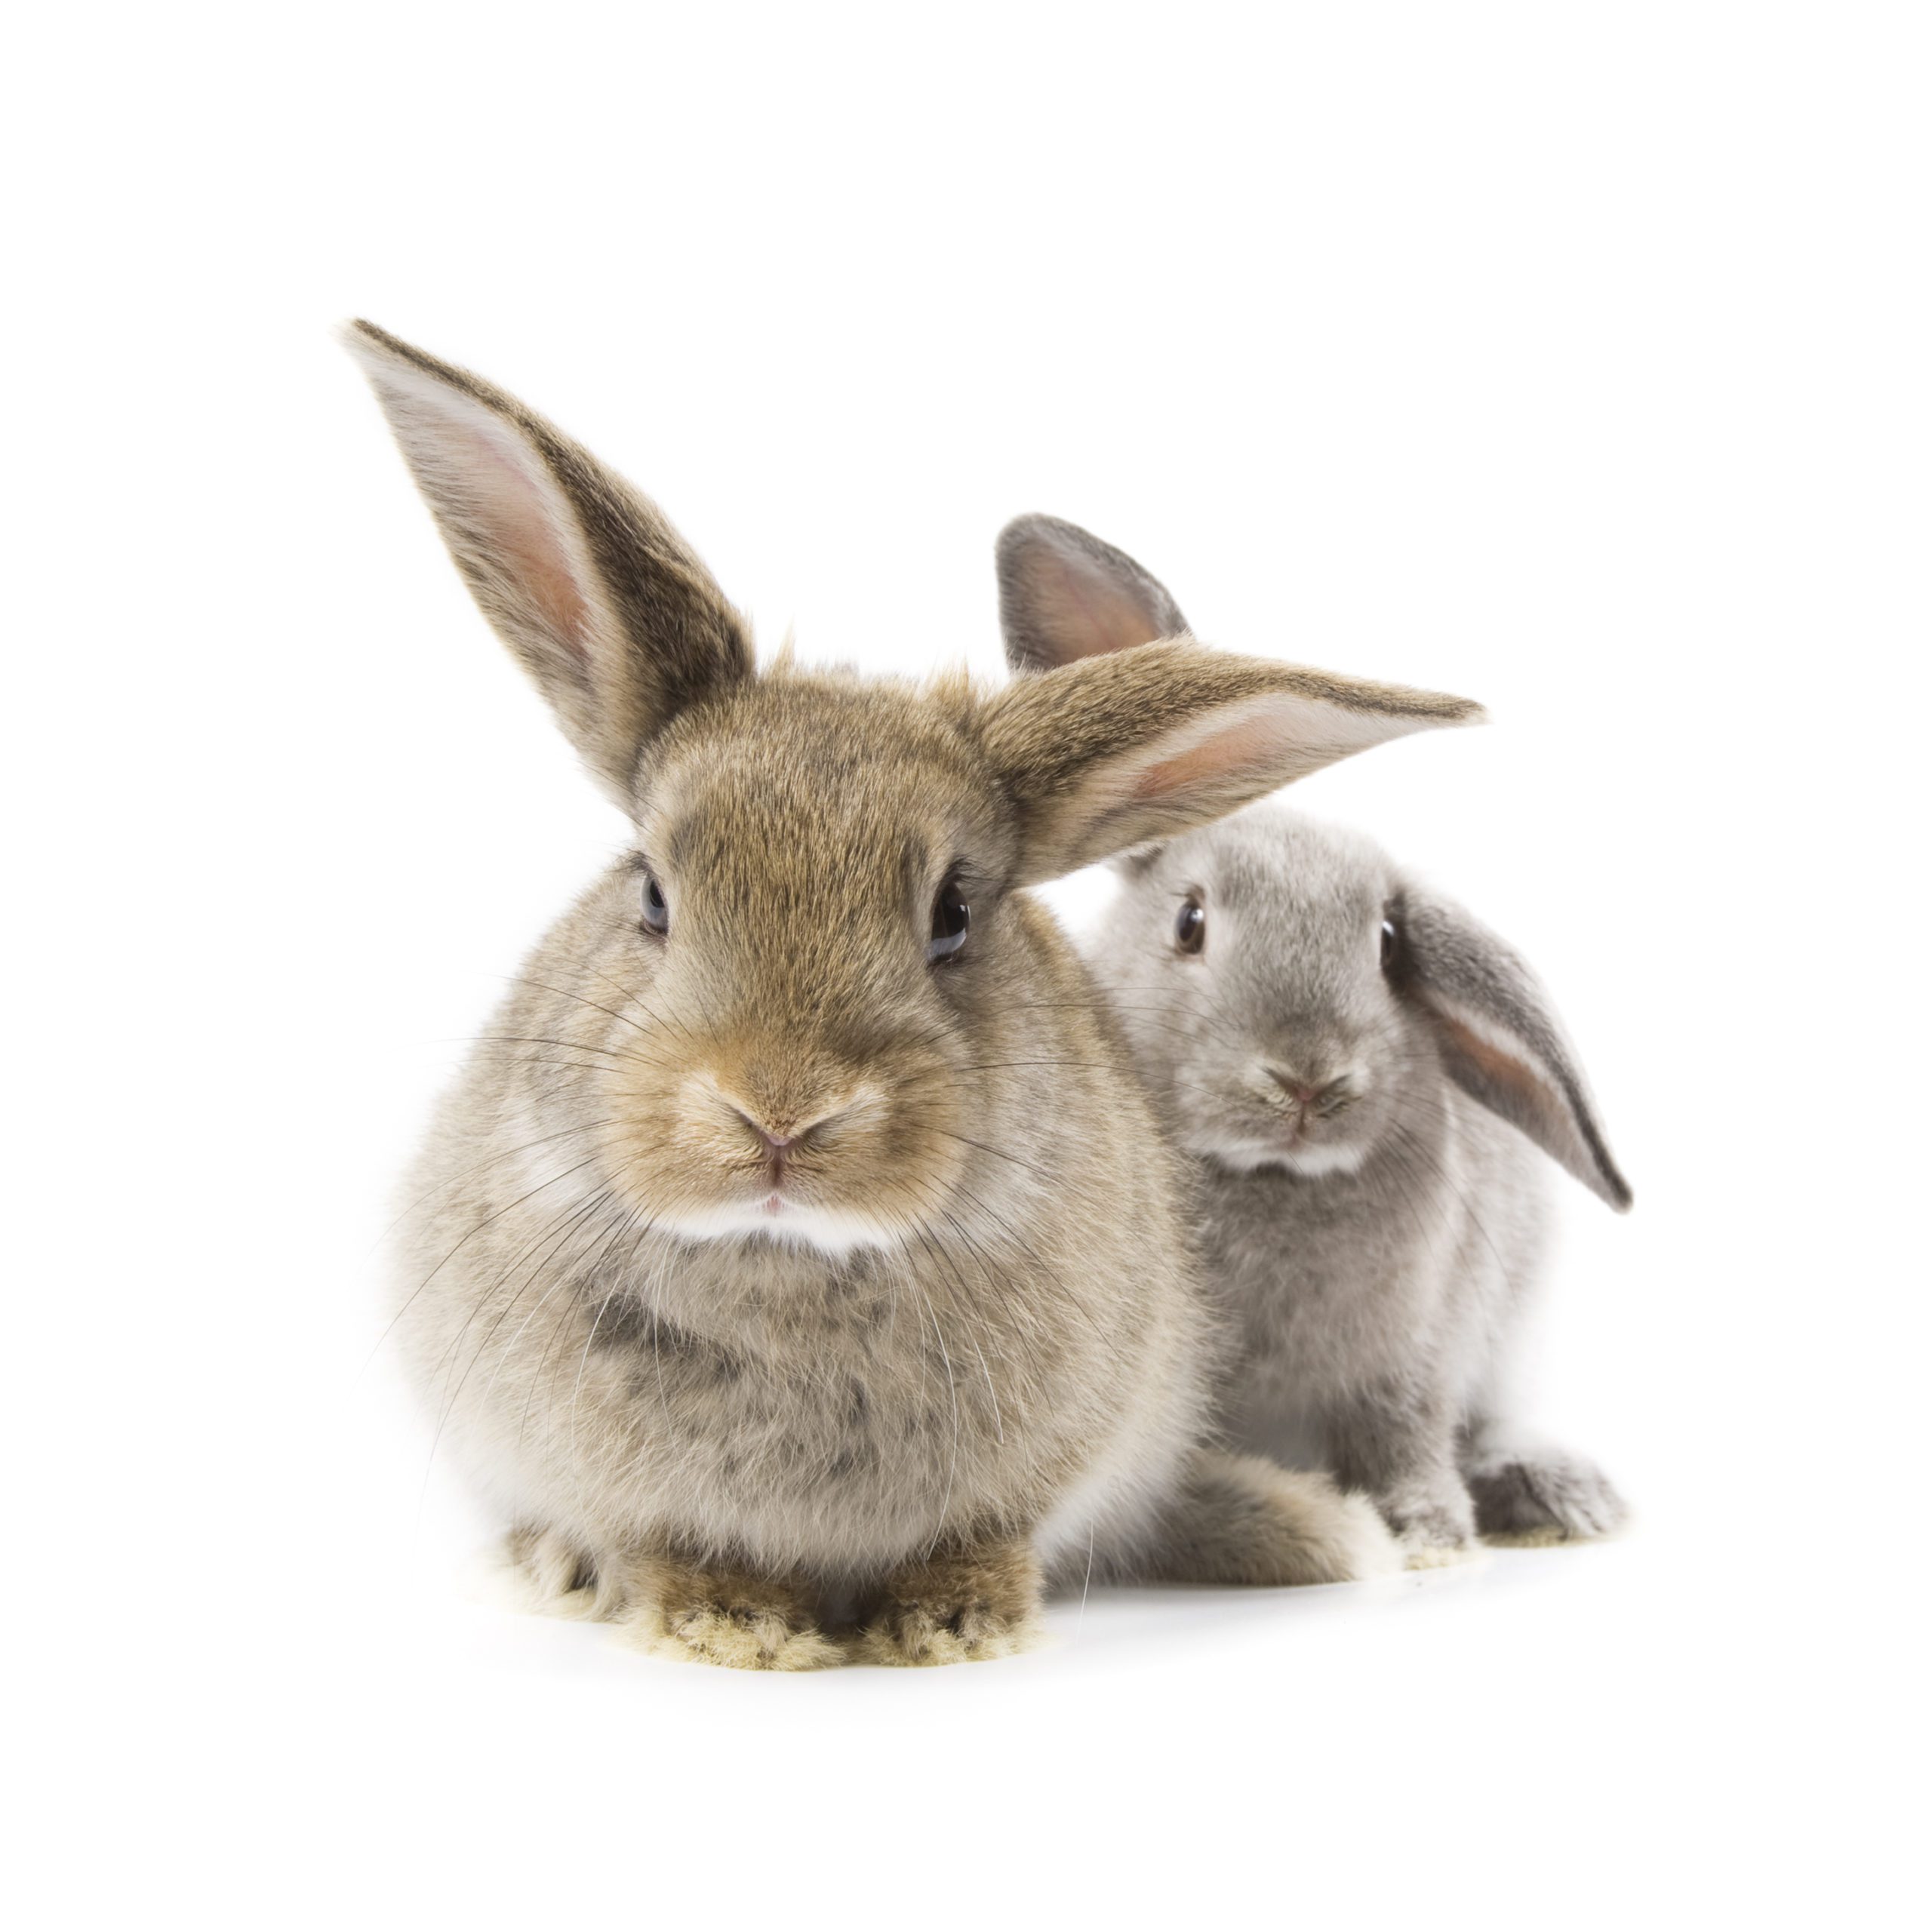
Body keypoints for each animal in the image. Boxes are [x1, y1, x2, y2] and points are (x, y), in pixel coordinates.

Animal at [344, 324, 1484, 1668]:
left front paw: (950, 1624)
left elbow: (982, 1538)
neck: (791, 1263)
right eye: (654, 893)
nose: (779, 1115)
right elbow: (673, 1545)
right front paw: (736, 1627)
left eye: (952, 916)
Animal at [997, 513, 1633, 1564]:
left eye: (1387, 946)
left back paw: (1552, 1492)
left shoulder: (1411, 1357)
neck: (1271, 1182)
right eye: (1189, 922)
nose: (1305, 1079)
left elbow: (1404, 1434)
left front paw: (1424, 1533)